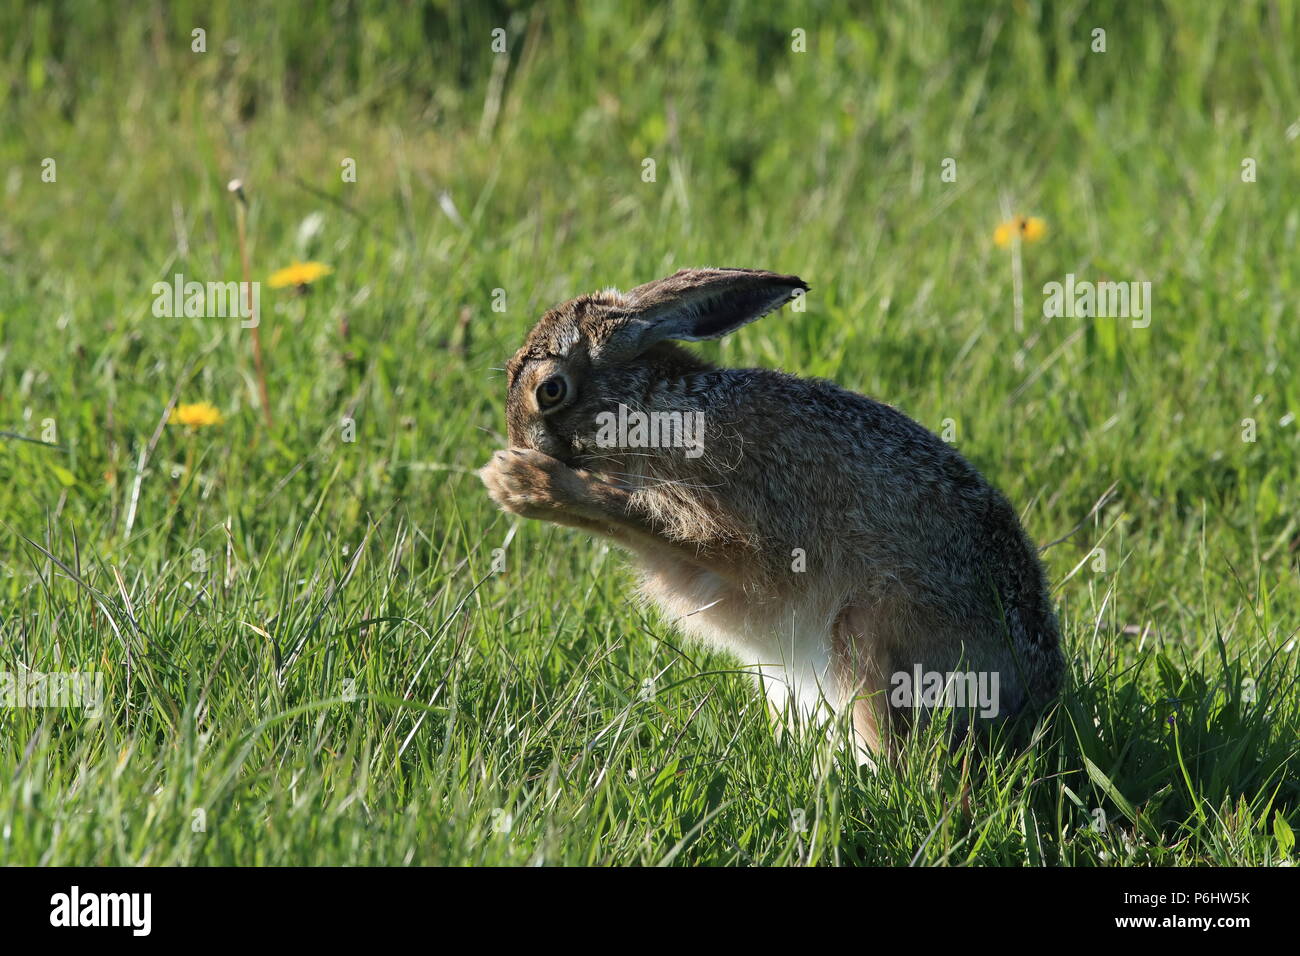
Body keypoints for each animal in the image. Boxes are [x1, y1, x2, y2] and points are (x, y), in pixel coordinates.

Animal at [480, 267, 1065, 756]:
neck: (647, 406)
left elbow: (637, 518)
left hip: (867, 638)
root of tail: (1038, 695)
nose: (516, 445)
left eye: (550, 390)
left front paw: (520, 484)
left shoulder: (736, 525)